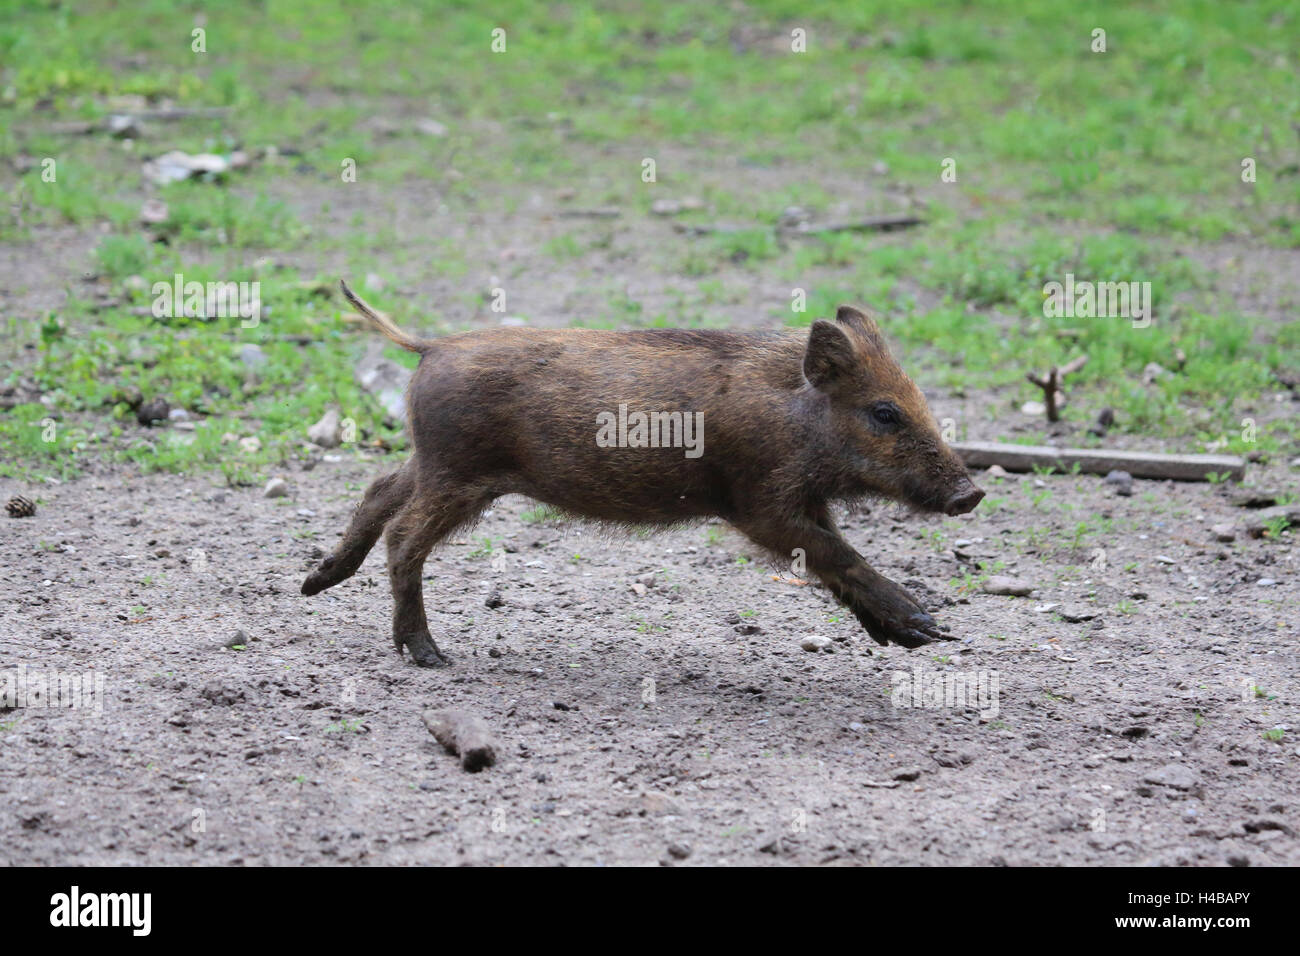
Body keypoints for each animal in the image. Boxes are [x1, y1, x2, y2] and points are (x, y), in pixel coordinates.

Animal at [302, 281, 984, 666]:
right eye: (884, 412)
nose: (971, 493)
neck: (794, 414)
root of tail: (430, 347)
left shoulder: (799, 501)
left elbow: (834, 559)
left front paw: (914, 636)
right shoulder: (759, 504)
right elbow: (836, 555)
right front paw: (930, 630)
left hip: (434, 463)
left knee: (377, 493)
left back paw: (314, 583)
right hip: (456, 473)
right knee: (403, 536)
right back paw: (430, 656)